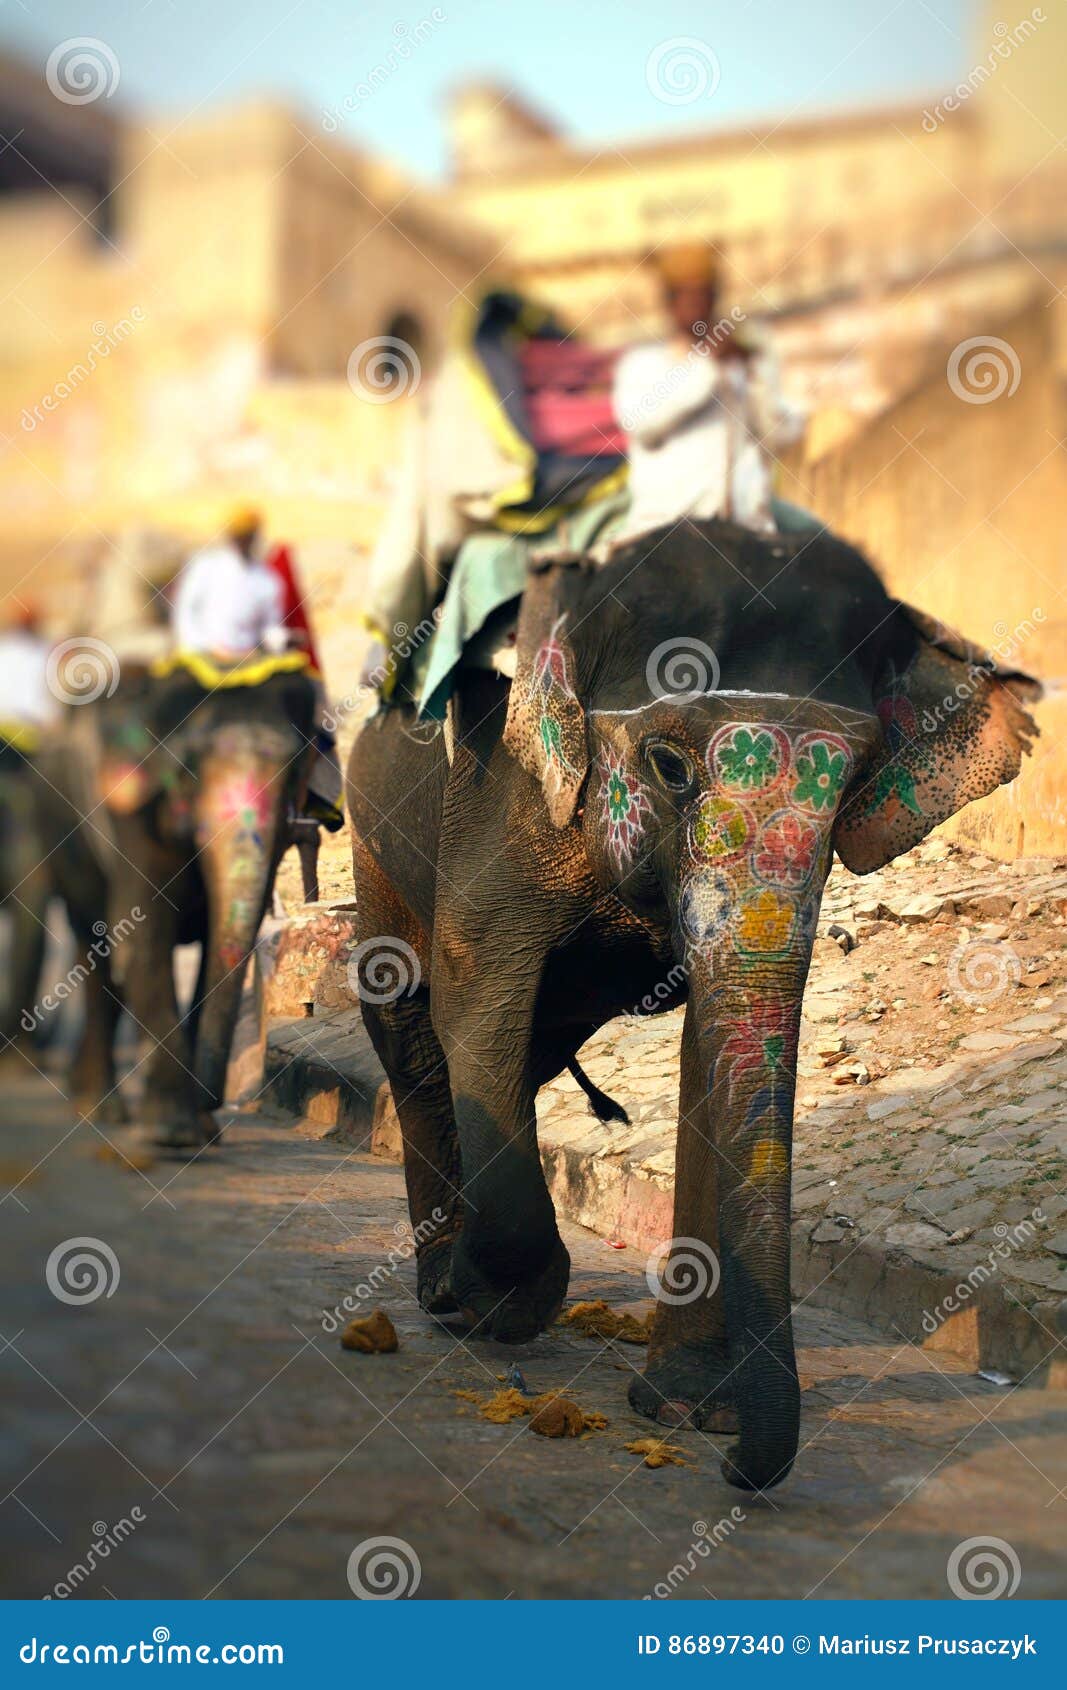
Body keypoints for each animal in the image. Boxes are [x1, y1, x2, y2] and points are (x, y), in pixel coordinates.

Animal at [28, 657, 318, 1147]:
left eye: (294, 775)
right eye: (187, 771)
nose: (215, 1100)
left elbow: (221, 944)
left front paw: (202, 1131)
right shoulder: (131, 817)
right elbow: (144, 933)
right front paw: (172, 1135)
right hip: (63, 838)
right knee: (96, 954)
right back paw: (100, 1110)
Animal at [346, 517, 1040, 1493]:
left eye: (853, 783)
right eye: (669, 764)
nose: (739, 1476)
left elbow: (712, 1041)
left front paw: (692, 1411)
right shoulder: (498, 789)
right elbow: (473, 987)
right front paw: (506, 1305)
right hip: (373, 834)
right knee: (409, 1022)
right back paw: (443, 1294)